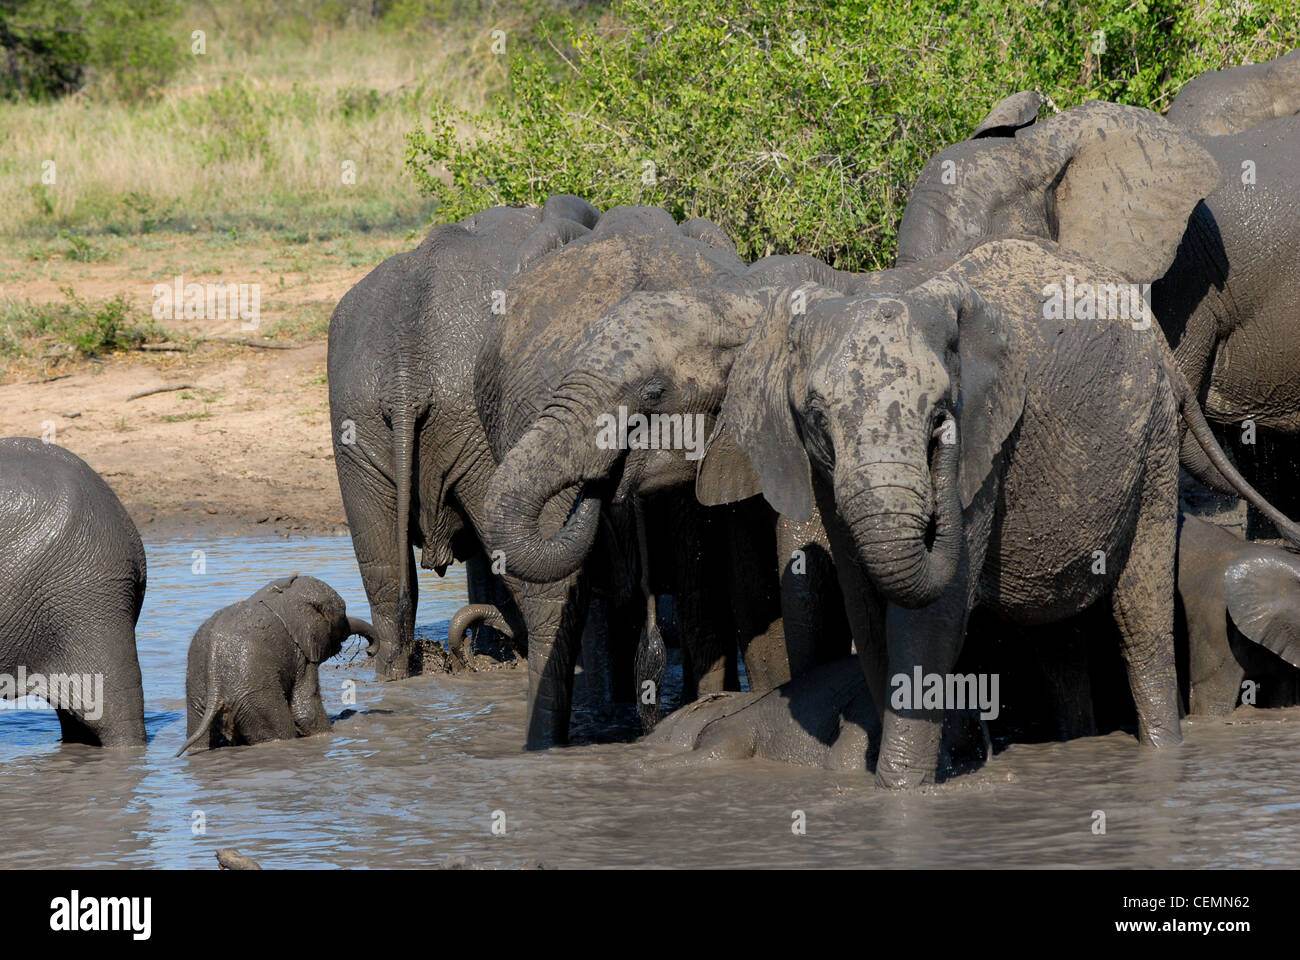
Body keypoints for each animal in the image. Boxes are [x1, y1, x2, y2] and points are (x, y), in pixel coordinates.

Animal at [176, 575, 376, 755]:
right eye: (342, 617)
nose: (370, 651)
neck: (281, 595)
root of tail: (215, 684)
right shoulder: (301, 654)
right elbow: (306, 711)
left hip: (198, 699)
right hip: (257, 701)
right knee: (280, 732)